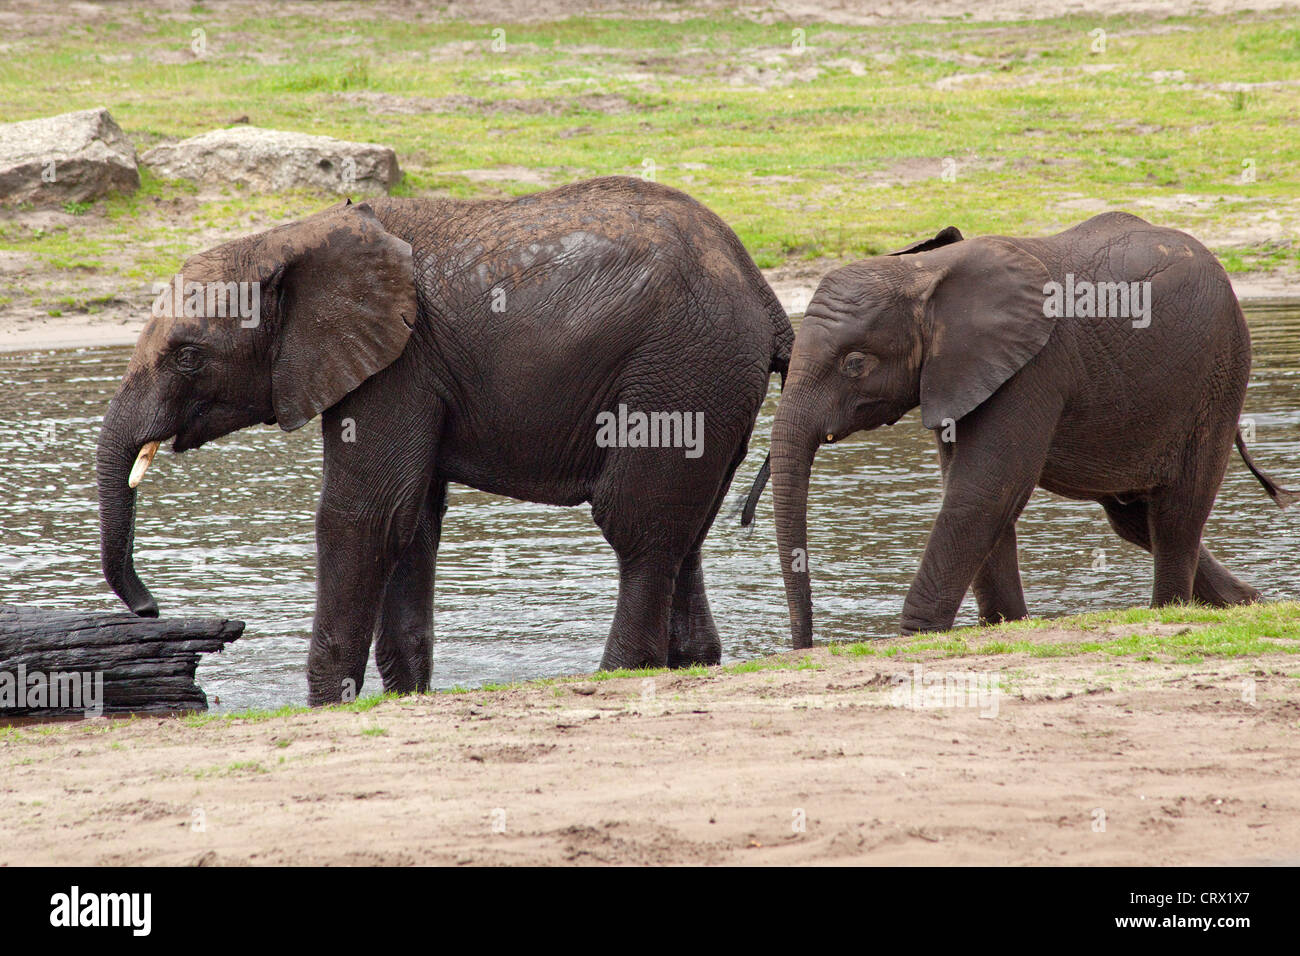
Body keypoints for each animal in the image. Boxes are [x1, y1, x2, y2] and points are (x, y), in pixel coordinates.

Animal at [97, 176, 793, 703]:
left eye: (188, 356)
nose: (150, 611)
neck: (291, 237)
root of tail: (764, 294)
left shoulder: (399, 364)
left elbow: (365, 516)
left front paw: (328, 703)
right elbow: (412, 521)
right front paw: (407, 694)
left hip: (681, 370)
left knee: (638, 528)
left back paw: (619, 673)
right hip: (710, 385)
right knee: (685, 532)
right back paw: (695, 662)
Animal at [749, 211, 1293, 646]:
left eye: (855, 363)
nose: (804, 648)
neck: (924, 273)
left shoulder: (1034, 368)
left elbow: (983, 490)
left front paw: (915, 637)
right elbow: (981, 496)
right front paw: (1005, 625)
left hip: (1218, 375)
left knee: (1177, 512)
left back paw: (1170, 611)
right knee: (1136, 519)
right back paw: (1248, 602)